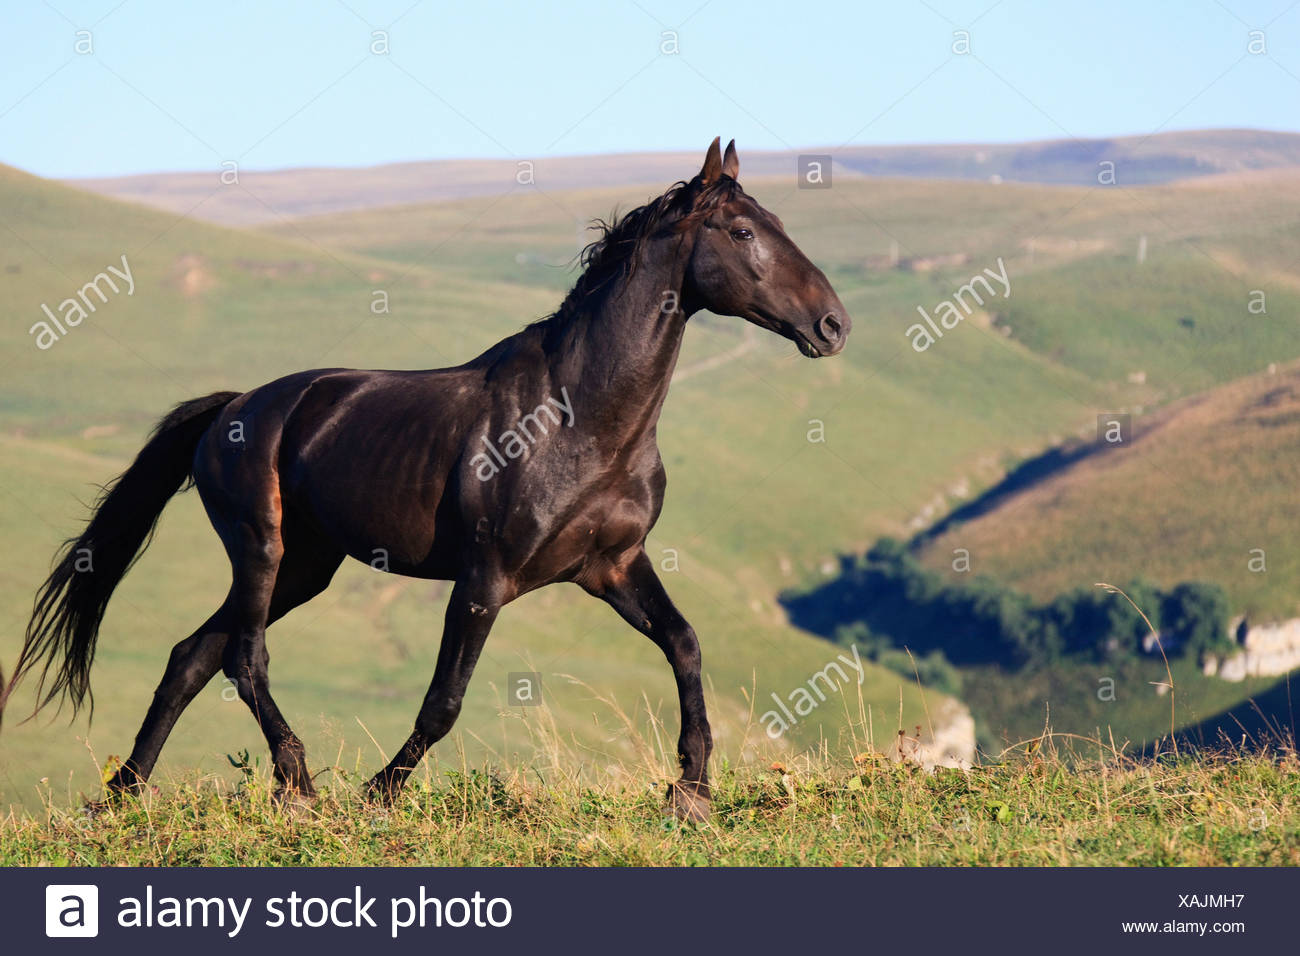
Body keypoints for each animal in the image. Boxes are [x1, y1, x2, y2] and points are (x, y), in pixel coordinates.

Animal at [2, 138, 851, 821]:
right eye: (743, 232)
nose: (834, 325)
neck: (581, 420)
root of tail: (230, 410)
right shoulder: (485, 579)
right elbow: (444, 701)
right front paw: (378, 794)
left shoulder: (612, 567)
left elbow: (685, 646)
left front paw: (691, 791)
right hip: (262, 549)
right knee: (244, 659)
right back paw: (296, 783)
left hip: (306, 566)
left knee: (193, 656)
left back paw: (123, 794)